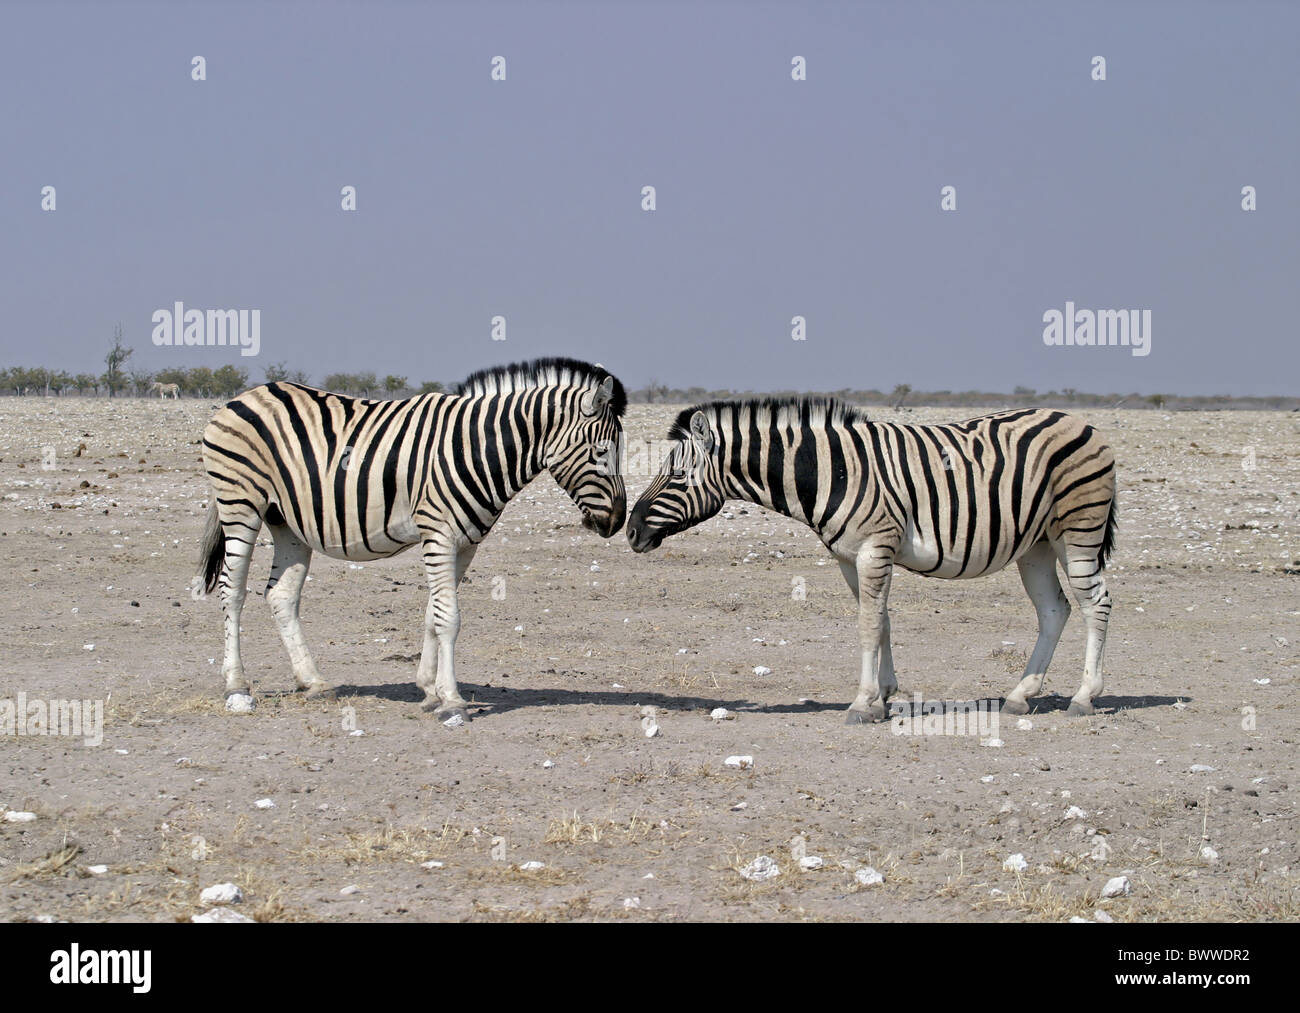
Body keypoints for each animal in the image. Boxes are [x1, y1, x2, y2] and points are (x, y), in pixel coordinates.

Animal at [197, 357, 627, 721]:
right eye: (601, 452)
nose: (618, 521)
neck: (478, 449)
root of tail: (250, 393)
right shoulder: (439, 532)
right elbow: (449, 617)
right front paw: (452, 702)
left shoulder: (465, 543)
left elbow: (433, 612)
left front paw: (430, 690)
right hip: (241, 502)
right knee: (232, 590)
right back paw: (237, 688)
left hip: (287, 521)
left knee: (281, 595)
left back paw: (313, 682)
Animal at [626, 400, 1116, 721]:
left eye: (677, 475)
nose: (630, 531)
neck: (827, 471)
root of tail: (1082, 421)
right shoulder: (849, 557)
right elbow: (880, 619)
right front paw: (883, 696)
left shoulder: (874, 548)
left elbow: (867, 623)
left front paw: (863, 703)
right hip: (1036, 545)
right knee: (1054, 609)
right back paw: (1021, 694)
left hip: (1078, 530)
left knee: (1097, 604)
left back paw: (1084, 697)